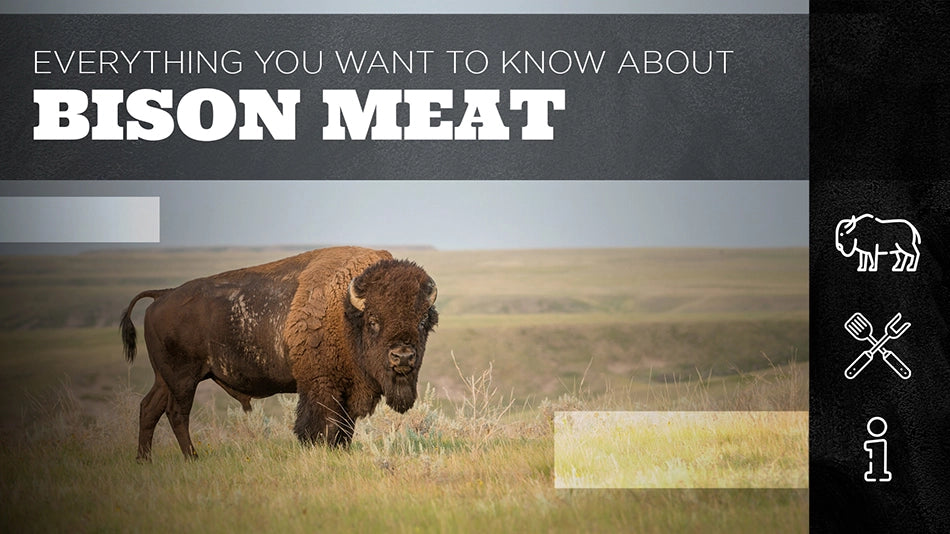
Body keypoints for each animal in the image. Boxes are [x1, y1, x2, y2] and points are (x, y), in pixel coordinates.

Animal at [120, 246, 438, 461]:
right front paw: (320, 451)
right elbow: (324, 426)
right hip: (183, 379)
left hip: (165, 379)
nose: (403, 357)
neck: (346, 314)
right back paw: (192, 458)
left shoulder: (346, 390)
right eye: (373, 321)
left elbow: (345, 428)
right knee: (177, 413)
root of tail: (163, 295)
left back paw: (144, 460)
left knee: (149, 408)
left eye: (423, 321)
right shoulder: (322, 387)